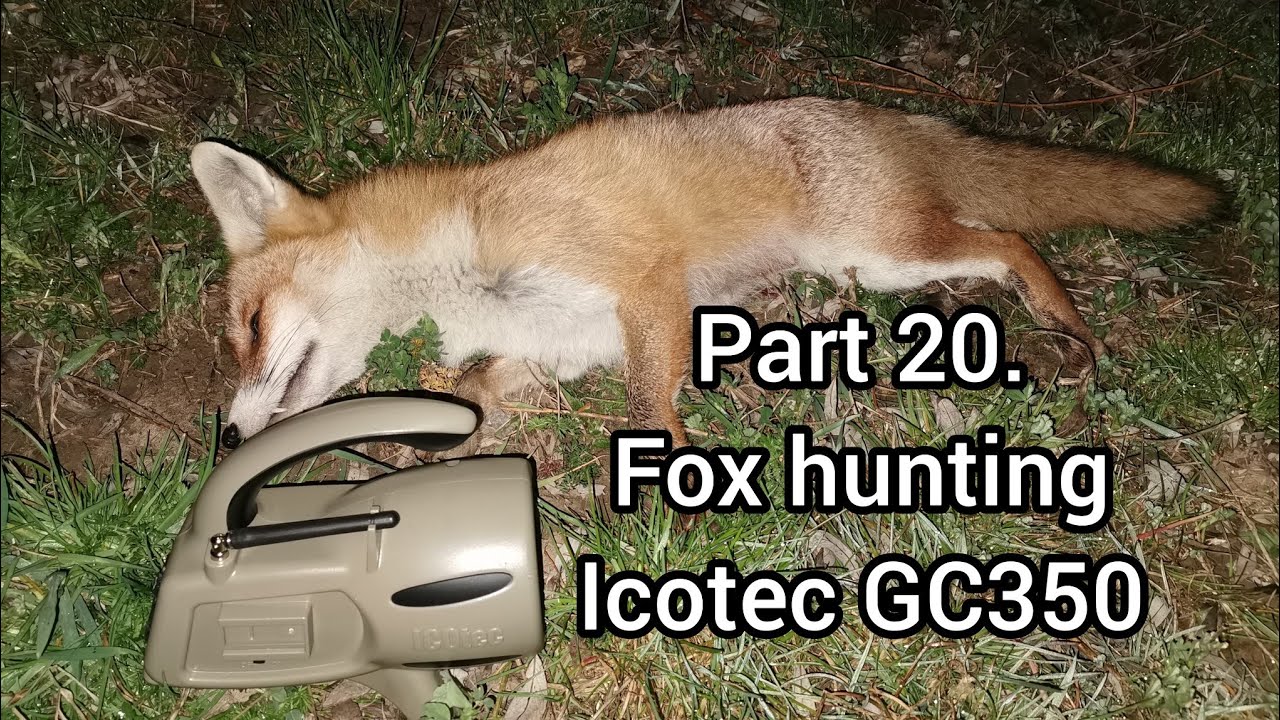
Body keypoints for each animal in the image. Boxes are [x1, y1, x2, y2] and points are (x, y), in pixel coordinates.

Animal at [191, 96, 1217, 450]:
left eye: (249, 328)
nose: (229, 432)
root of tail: (888, 115)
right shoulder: (553, 351)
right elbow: (476, 398)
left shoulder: (648, 282)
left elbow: (651, 407)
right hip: (866, 262)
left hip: (888, 253)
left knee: (1011, 241)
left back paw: (1066, 322)